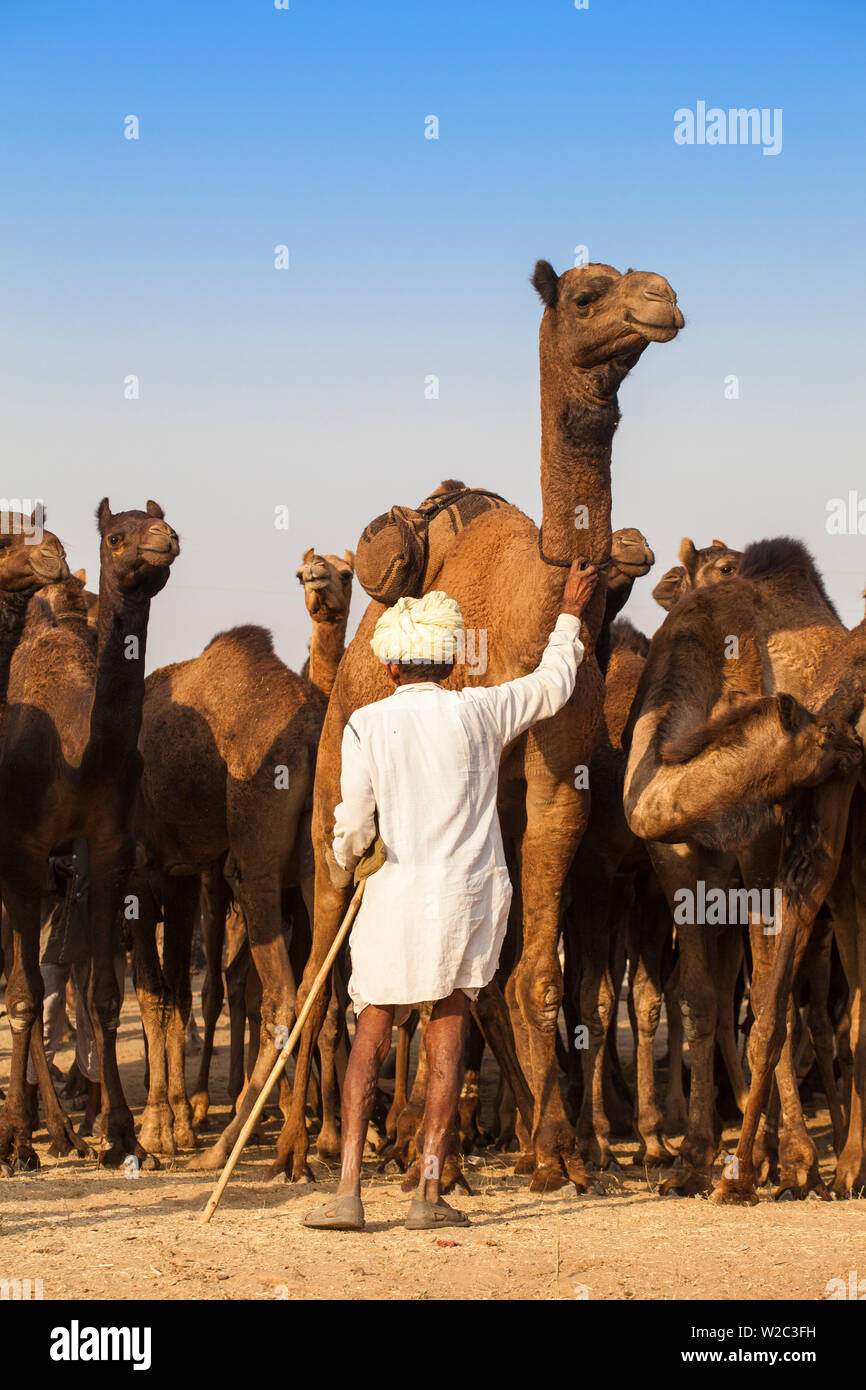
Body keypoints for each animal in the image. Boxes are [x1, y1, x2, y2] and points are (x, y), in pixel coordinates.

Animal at [0, 501, 178, 1172]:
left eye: (162, 521)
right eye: (116, 536)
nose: (163, 538)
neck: (77, 753)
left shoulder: (109, 853)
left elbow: (101, 994)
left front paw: (124, 1138)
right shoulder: (20, 854)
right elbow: (25, 995)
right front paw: (16, 1143)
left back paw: (65, 1131)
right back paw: (32, 1131)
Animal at [268, 259, 684, 1193]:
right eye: (586, 294)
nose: (662, 297)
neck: (532, 612)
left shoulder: (556, 785)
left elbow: (531, 976)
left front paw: (560, 1151)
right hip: (332, 795)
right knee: (317, 968)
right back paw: (300, 1148)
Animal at [624, 537, 864, 1200]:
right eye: (819, 733)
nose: (854, 747)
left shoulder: (762, 852)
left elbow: (764, 1001)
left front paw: (790, 1162)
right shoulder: (679, 867)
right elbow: (703, 999)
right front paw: (693, 1159)